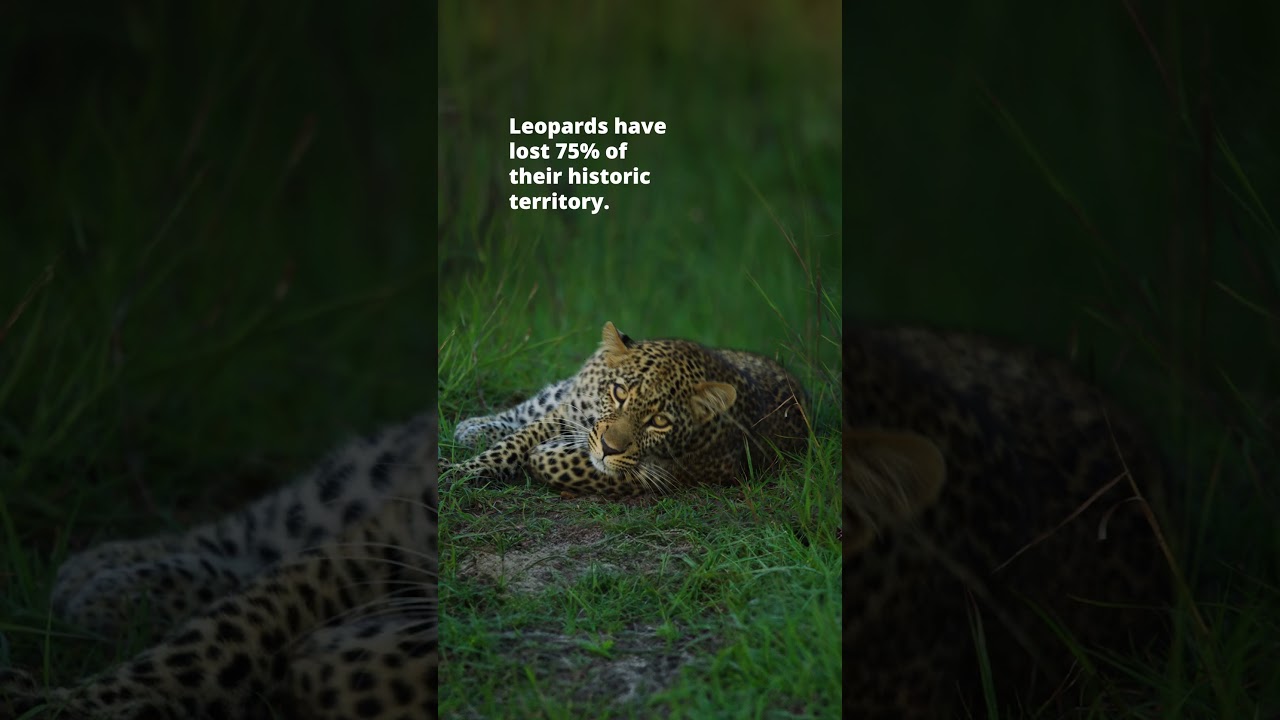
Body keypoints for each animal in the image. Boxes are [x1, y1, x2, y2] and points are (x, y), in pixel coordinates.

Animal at [0, 412, 439, 720]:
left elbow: (350, 674)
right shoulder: (382, 540)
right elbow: (231, 634)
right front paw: (57, 707)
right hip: (371, 478)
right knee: (277, 519)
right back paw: (104, 578)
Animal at [445, 321, 810, 497]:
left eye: (659, 421)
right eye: (619, 393)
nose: (609, 447)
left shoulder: (671, 475)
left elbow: (553, 460)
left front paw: (548, 453)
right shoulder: (566, 415)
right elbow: (514, 443)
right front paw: (461, 471)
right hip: (567, 396)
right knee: (535, 404)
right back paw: (474, 428)